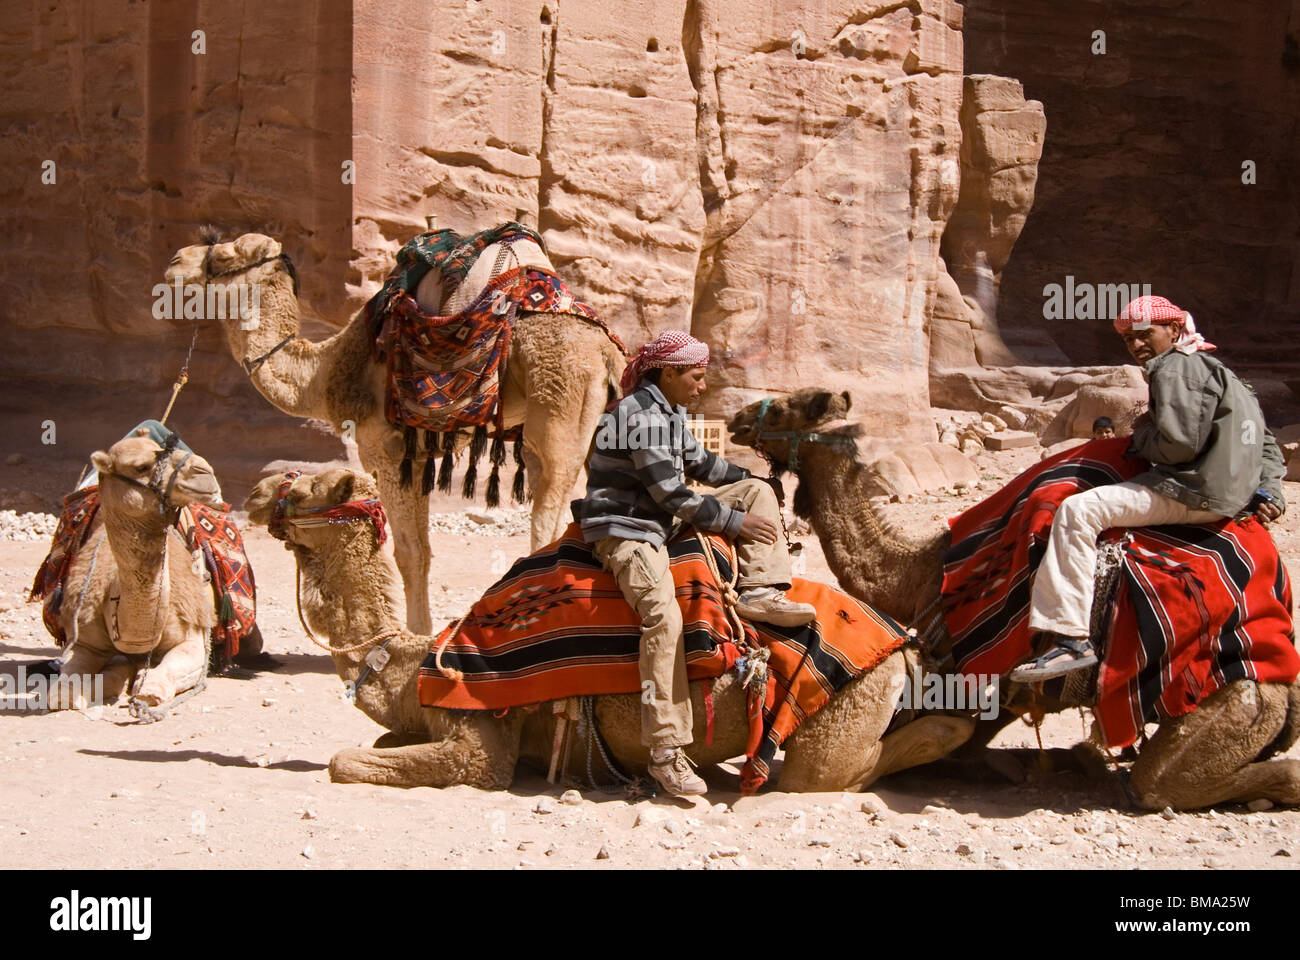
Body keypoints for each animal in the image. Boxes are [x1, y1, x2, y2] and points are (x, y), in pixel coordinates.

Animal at [49, 434, 224, 716]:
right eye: (141, 466)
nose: (204, 471)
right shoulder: (82, 641)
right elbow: (66, 688)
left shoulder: (193, 638)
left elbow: (160, 678)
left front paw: (146, 691)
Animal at [165, 228, 625, 635]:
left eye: (223, 256)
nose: (174, 262)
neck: (326, 372)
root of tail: (608, 353)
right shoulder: (416, 456)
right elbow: (422, 551)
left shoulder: (385, 452)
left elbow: (408, 553)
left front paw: (416, 633)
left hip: (558, 405)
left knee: (547, 525)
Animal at [242, 467, 974, 792]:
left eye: (303, 488)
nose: (252, 490)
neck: (414, 664)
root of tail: (903, 643)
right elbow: (381, 739)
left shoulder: (481, 734)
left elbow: (348, 760)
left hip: (848, 702)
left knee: (830, 772)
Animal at [725, 388, 1300, 810]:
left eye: (789, 404)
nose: (736, 419)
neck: (924, 571)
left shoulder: (980, 669)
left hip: (1230, 698)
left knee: (1163, 784)